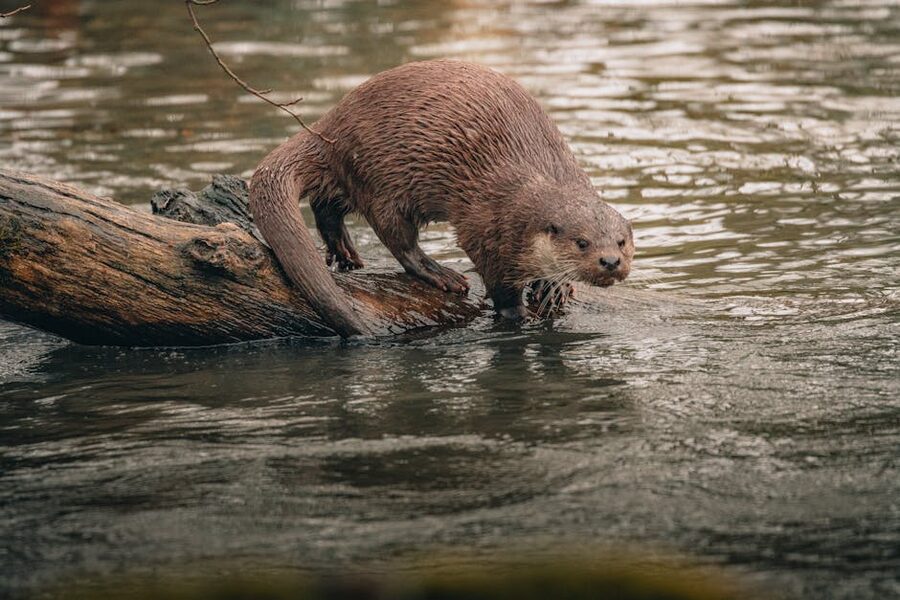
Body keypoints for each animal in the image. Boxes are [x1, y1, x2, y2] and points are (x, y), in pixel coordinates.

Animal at [249, 60, 633, 337]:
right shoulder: (485, 226)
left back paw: (344, 252)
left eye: (621, 241)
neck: (534, 182)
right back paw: (440, 274)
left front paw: (554, 287)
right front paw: (516, 314)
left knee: (327, 204)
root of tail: (328, 128)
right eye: (582, 243)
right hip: (383, 177)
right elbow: (497, 281)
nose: (610, 261)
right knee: (396, 238)